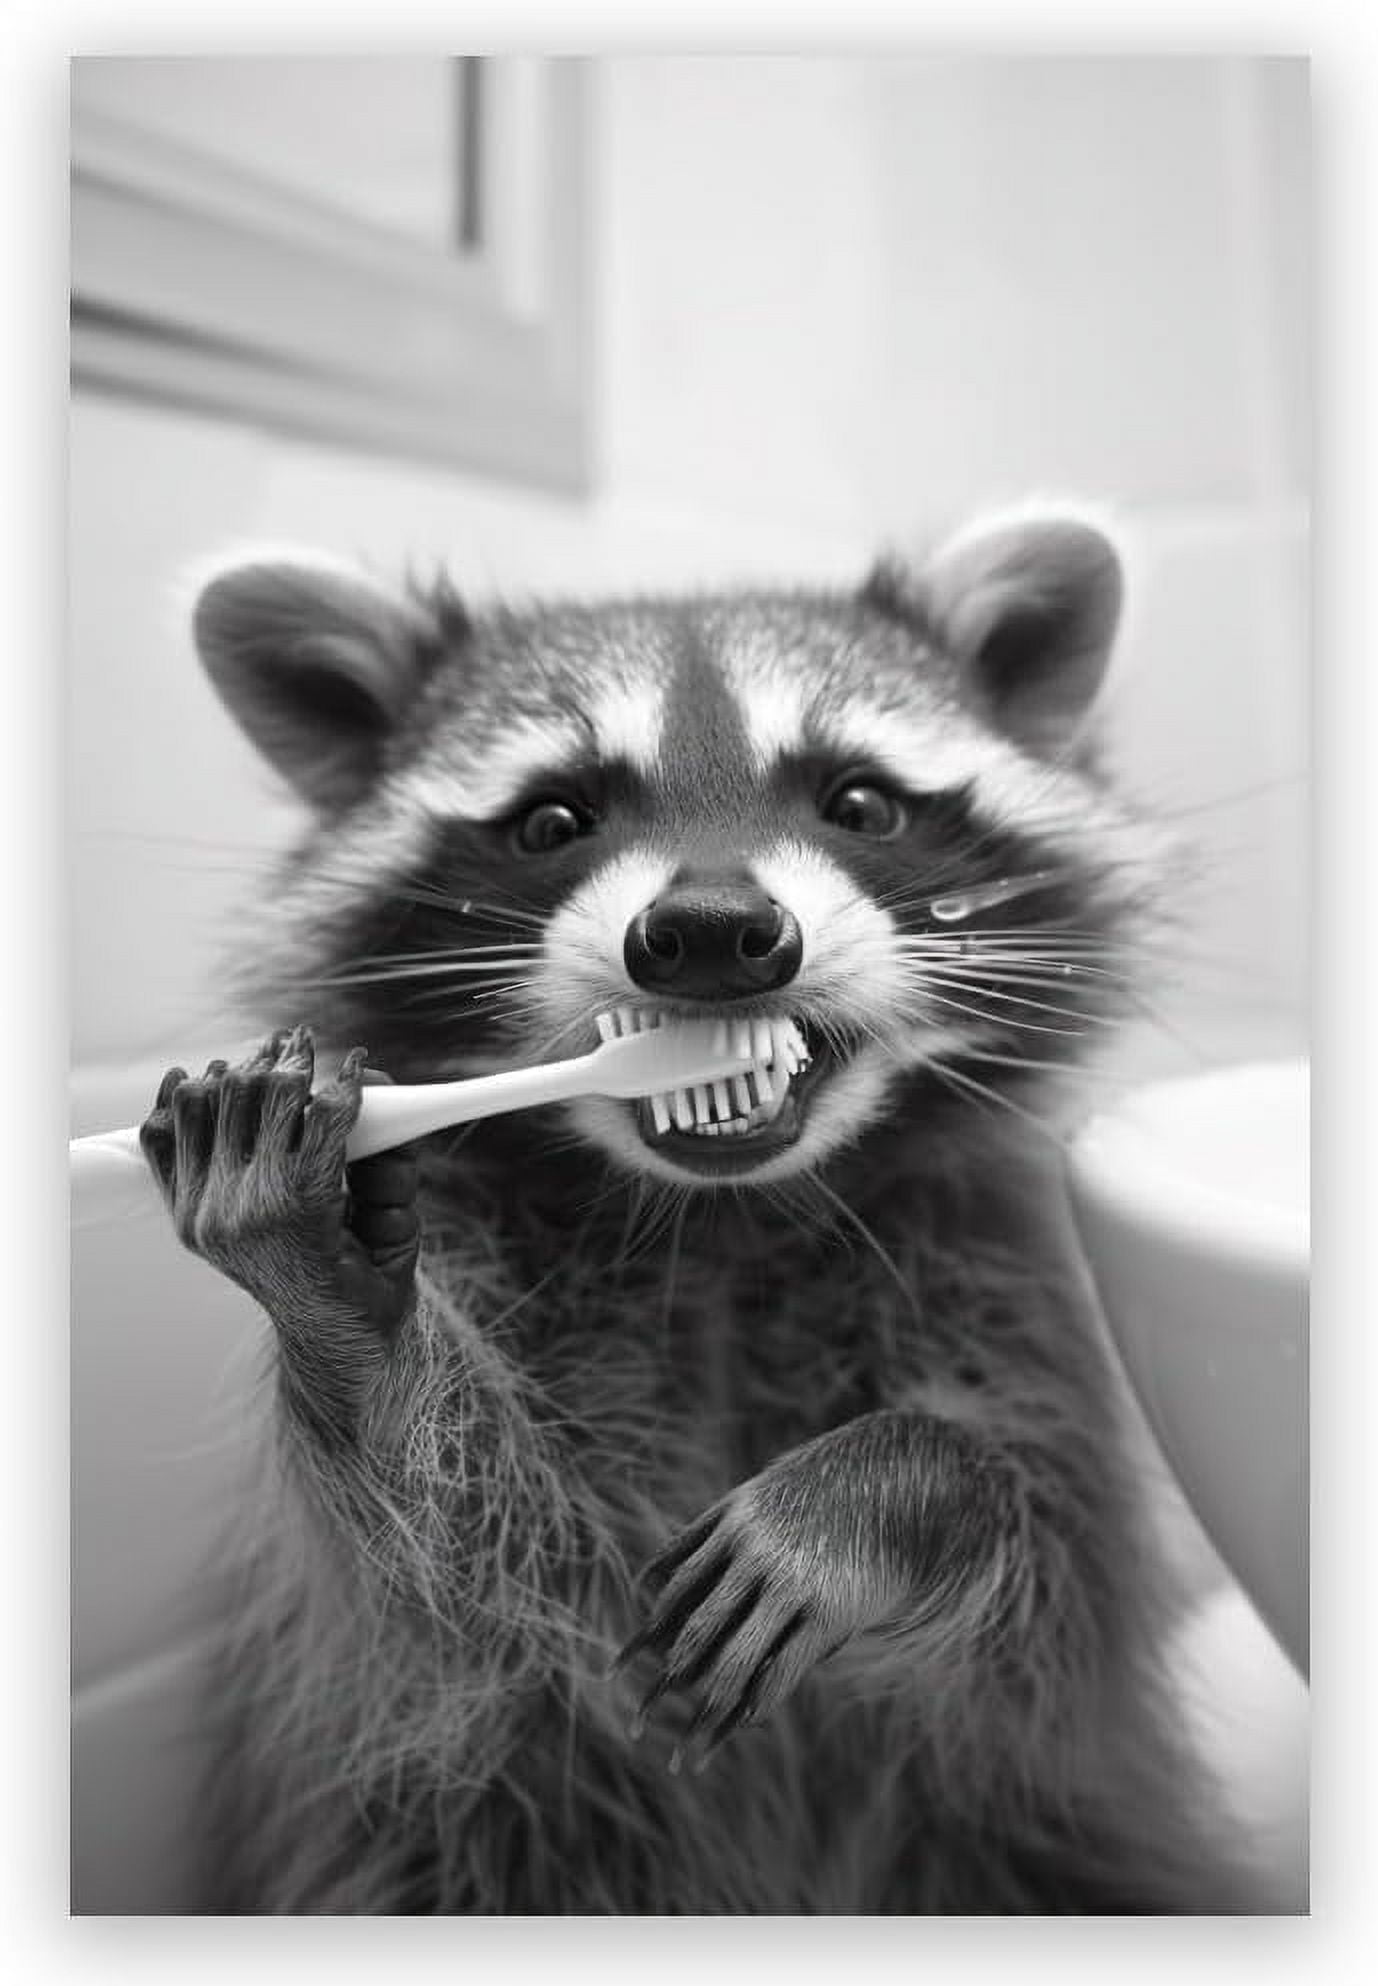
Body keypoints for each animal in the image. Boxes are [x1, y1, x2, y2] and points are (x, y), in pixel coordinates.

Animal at [139, 506, 1251, 1913]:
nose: (715, 930)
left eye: (859, 801)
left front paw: (896, 1488)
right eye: (552, 819)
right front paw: (346, 1318)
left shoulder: (1005, 1291)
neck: (719, 1221)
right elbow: (460, 1597)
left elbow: (1040, 1613)